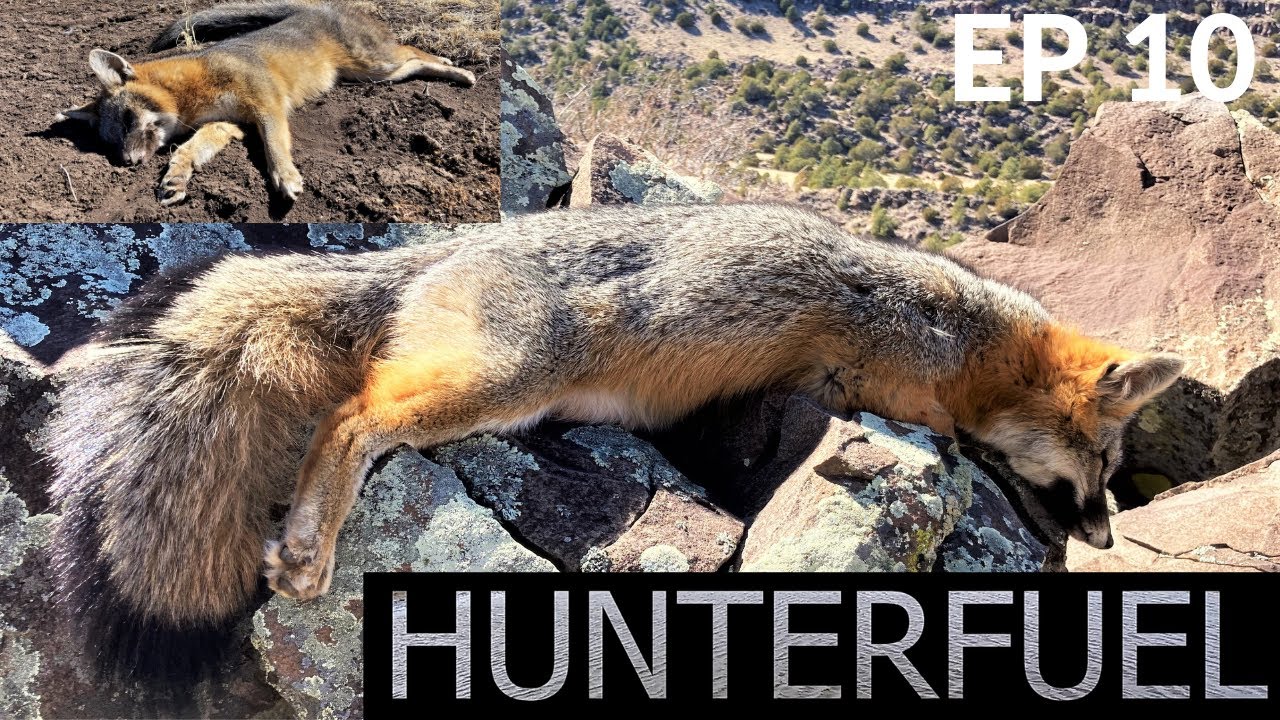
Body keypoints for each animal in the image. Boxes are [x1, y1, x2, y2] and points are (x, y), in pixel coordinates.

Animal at [47, 203, 1182, 678]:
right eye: (1099, 468)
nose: (1108, 539)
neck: (971, 336)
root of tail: (436, 251)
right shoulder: (886, 378)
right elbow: (934, 429)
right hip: (500, 387)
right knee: (355, 416)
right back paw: (306, 548)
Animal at [55, 1, 476, 205]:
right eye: (110, 141)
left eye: (129, 119)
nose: (128, 162)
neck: (195, 88)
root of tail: (313, 8)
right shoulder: (228, 124)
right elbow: (188, 149)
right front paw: (177, 176)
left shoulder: (267, 107)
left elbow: (275, 146)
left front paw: (285, 176)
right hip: (376, 76)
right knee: (412, 62)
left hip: (376, 65)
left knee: (413, 50)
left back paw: (456, 68)